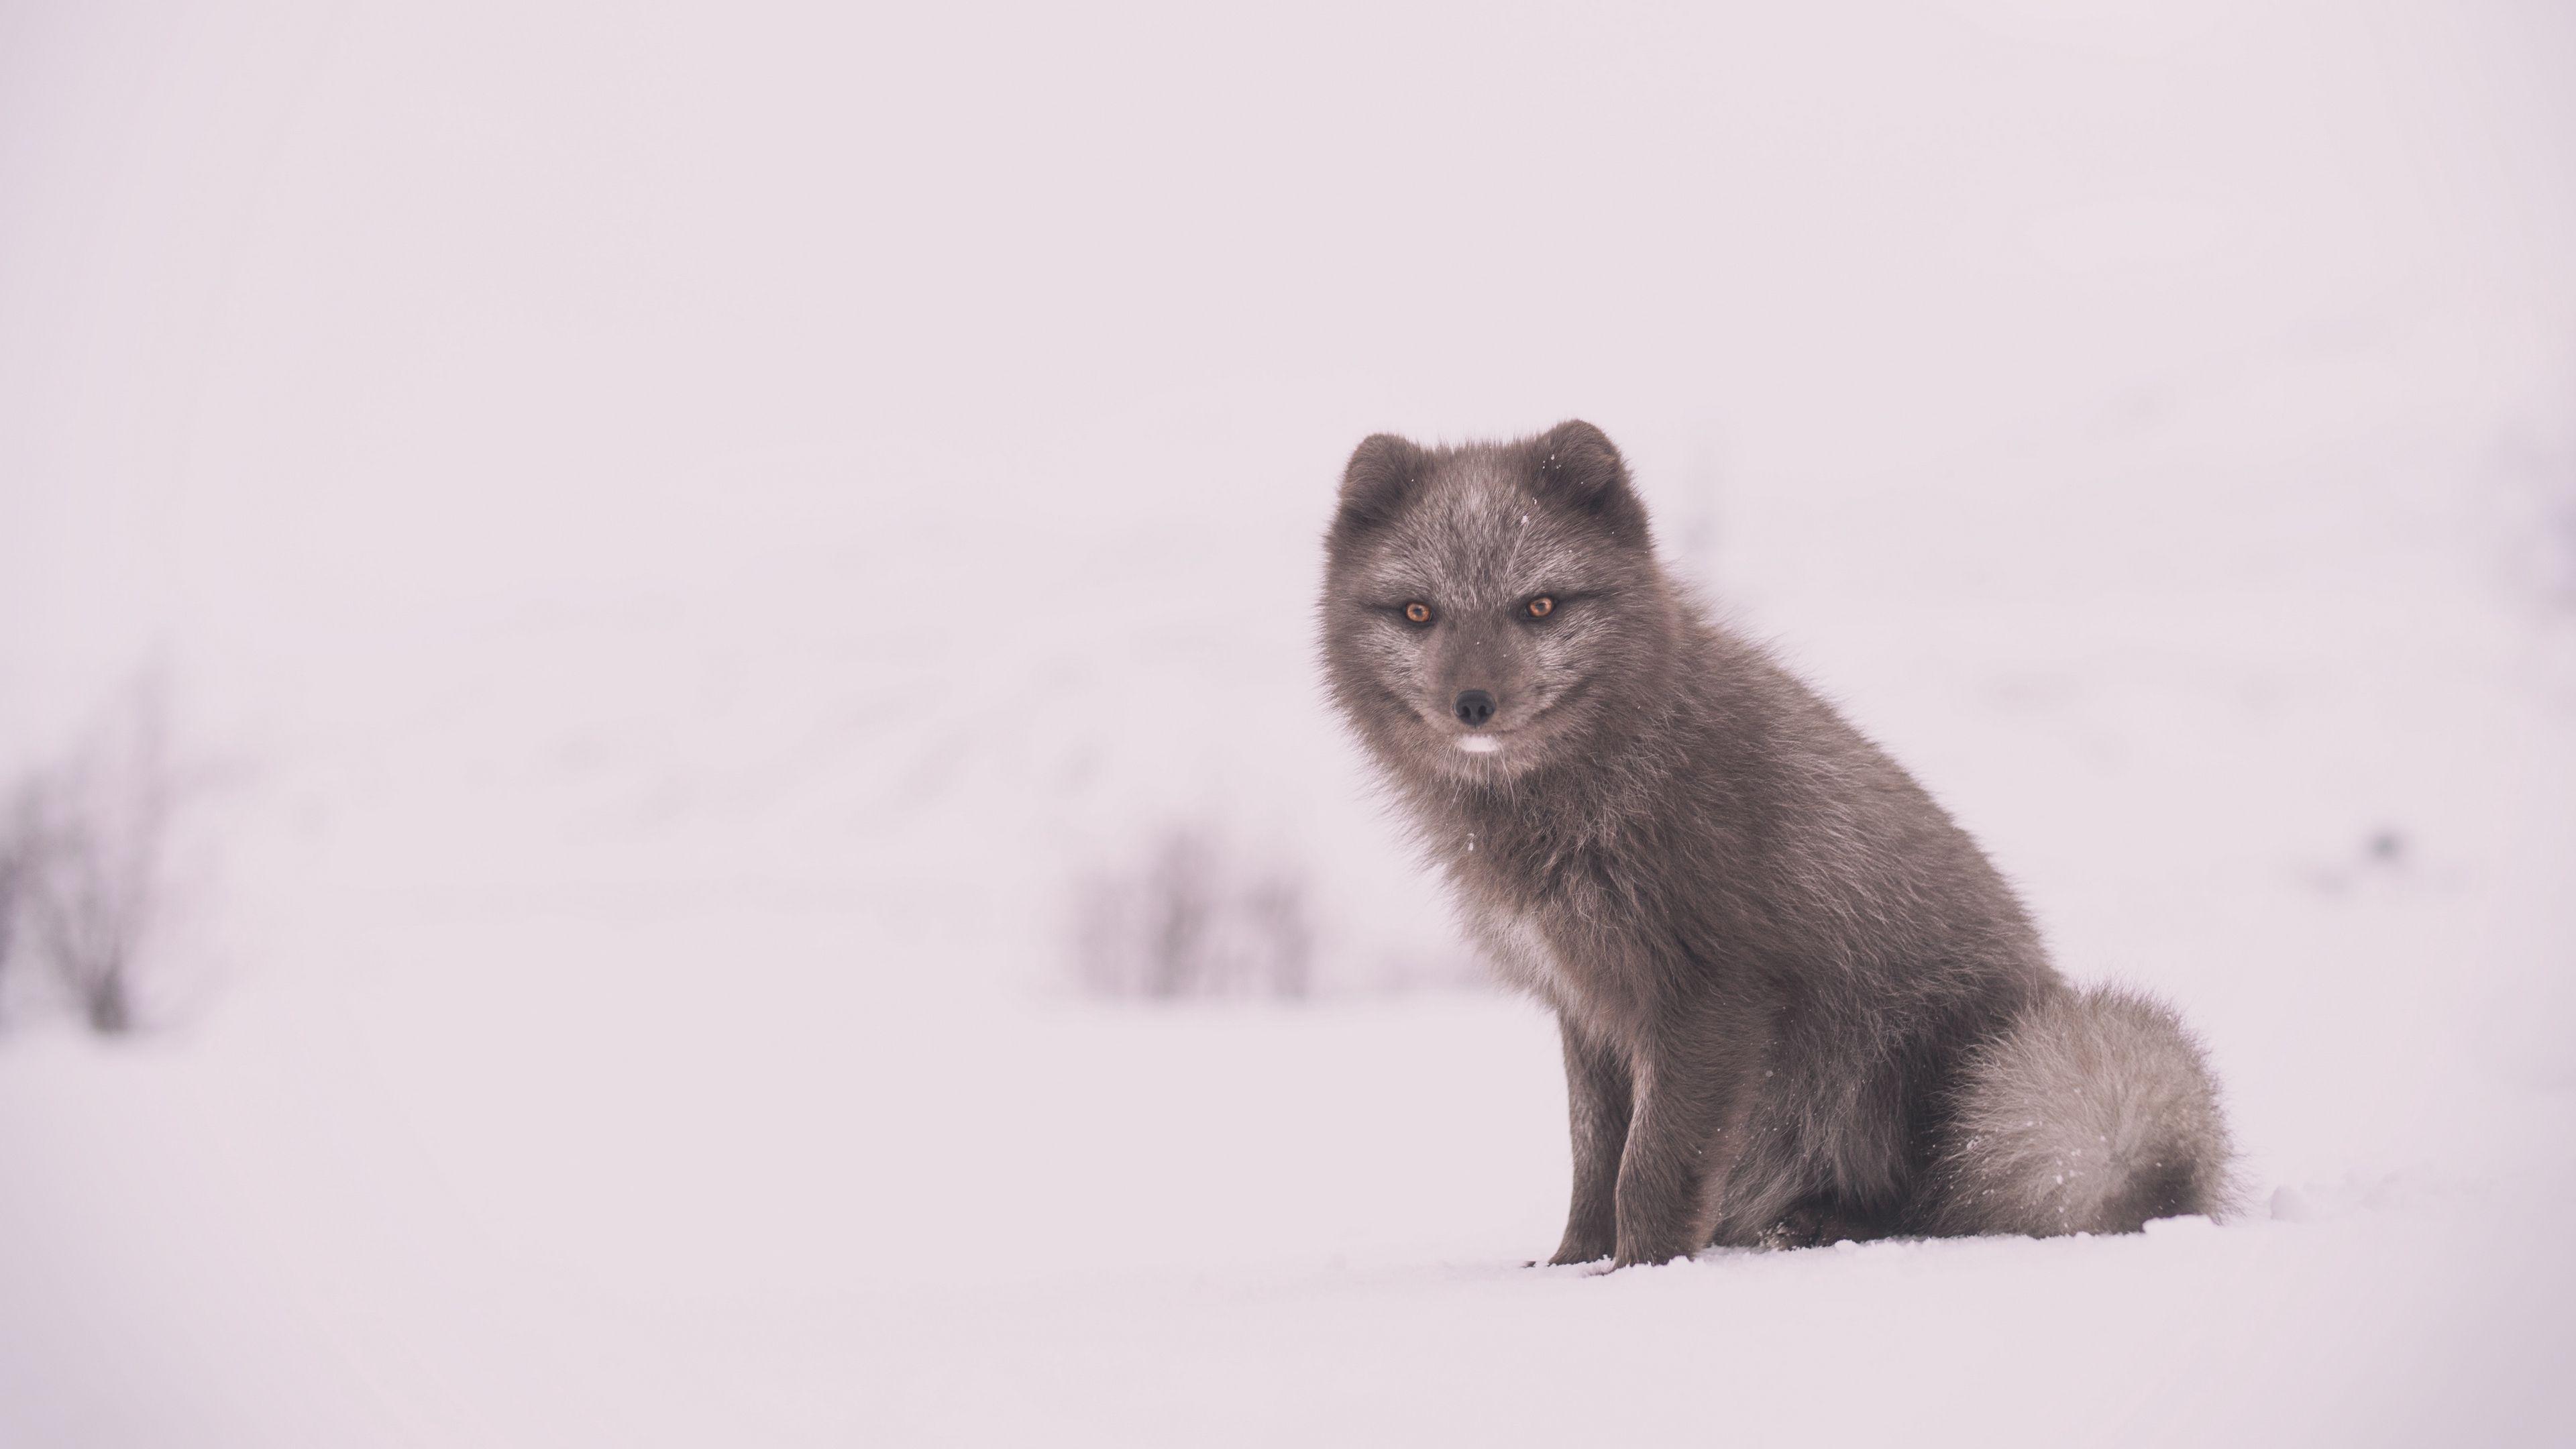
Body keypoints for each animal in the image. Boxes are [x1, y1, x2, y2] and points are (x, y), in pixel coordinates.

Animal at [1318, 420, 2236, 1268]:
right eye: (1418, 612)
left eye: (1538, 606)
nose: (1473, 704)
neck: (1613, 780)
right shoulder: (1588, 1005)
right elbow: (1593, 1158)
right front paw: (1574, 1264)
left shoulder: (1713, 993)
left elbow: (1650, 1166)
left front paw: (1641, 1272)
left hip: (1919, 1059)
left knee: (1943, 1201)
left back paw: (1829, 1224)